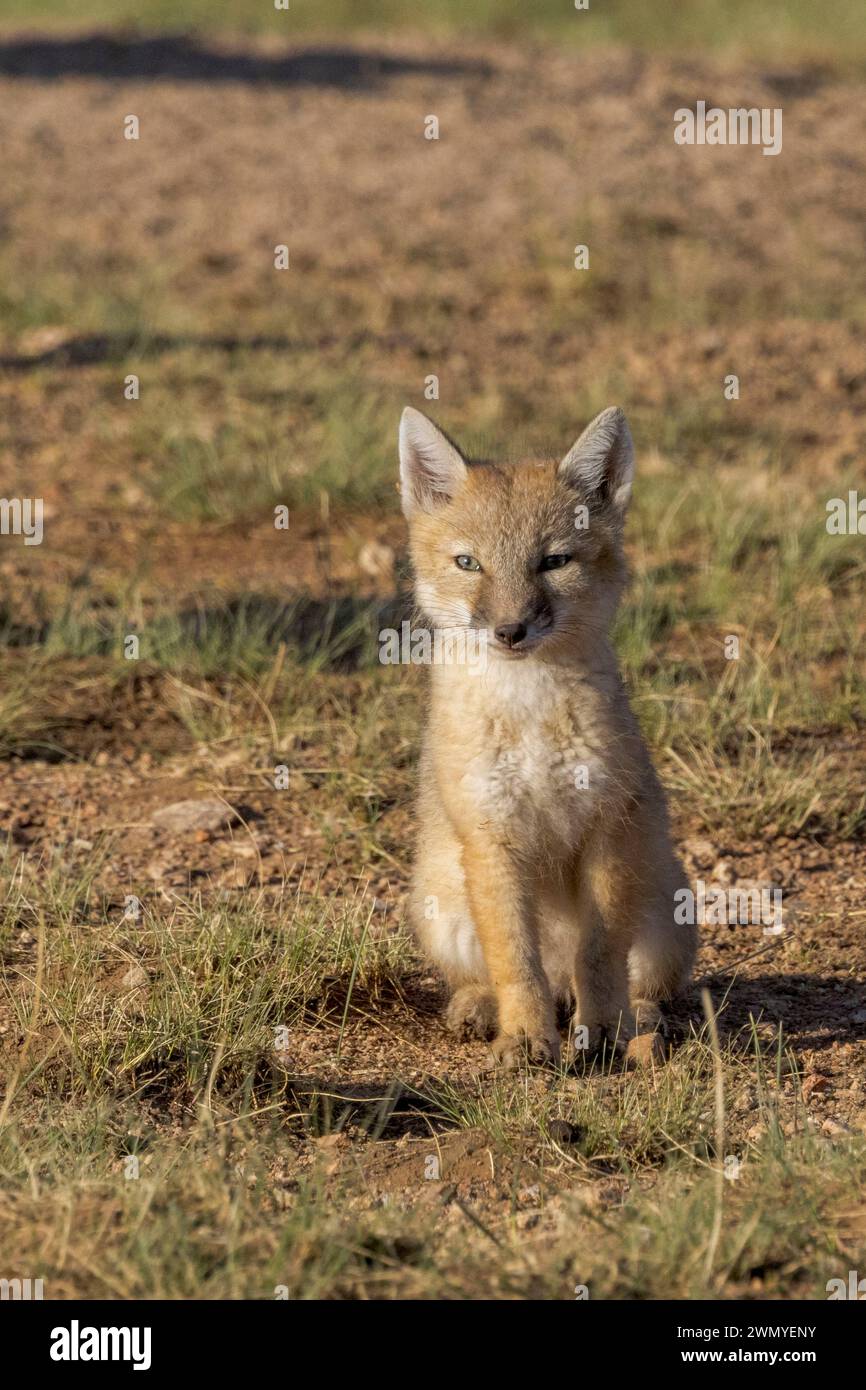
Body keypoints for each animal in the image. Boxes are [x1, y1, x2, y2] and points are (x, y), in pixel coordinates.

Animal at [399, 404, 696, 1069]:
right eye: (468, 563)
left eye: (553, 562)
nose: (510, 630)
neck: (529, 710)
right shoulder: (491, 837)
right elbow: (516, 960)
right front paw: (527, 1037)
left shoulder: (608, 827)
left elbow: (601, 956)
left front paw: (604, 1031)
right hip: (441, 905)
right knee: (495, 974)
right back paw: (481, 1007)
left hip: (666, 911)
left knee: (640, 986)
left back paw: (637, 1020)